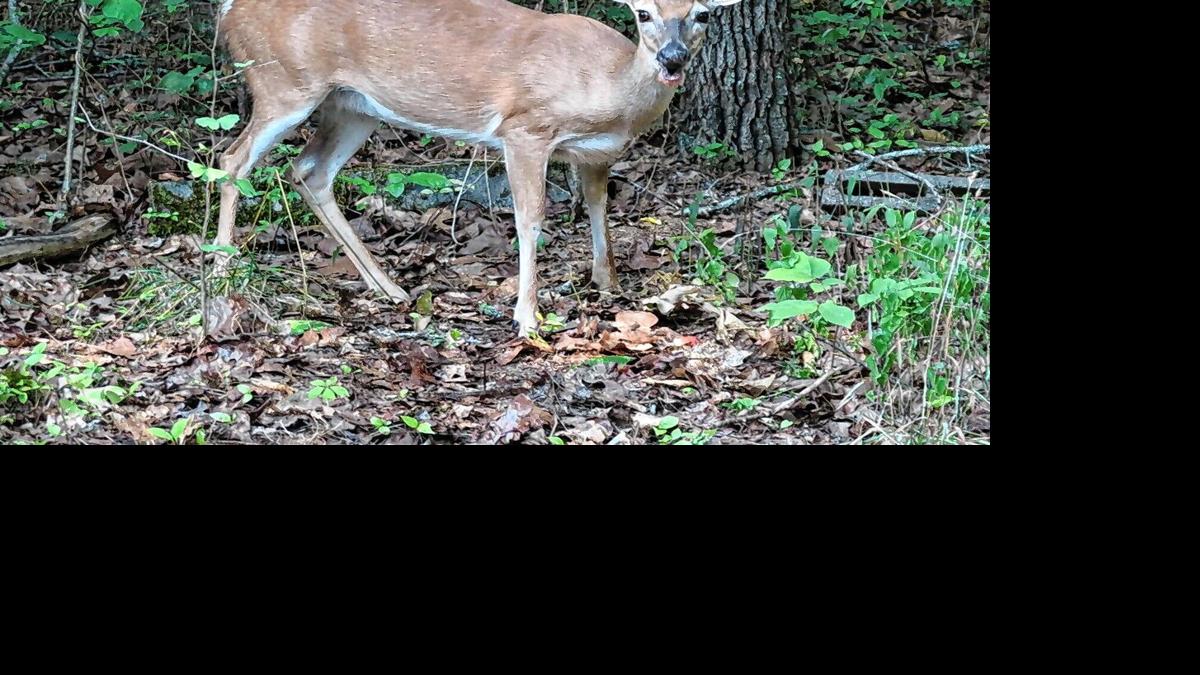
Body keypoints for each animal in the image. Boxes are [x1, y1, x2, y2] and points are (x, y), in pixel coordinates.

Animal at [215, 0, 742, 337]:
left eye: (702, 14)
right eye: (643, 12)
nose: (673, 58)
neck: (608, 87)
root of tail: (229, 11)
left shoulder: (596, 154)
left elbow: (599, 211)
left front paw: (607, 284)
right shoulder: (525, 129)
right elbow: (530, 219)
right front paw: (527, 317)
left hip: (353, 106)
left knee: (309, 170)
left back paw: (389, 288)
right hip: (283, 82)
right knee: (232, 159)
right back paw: (220, 279)